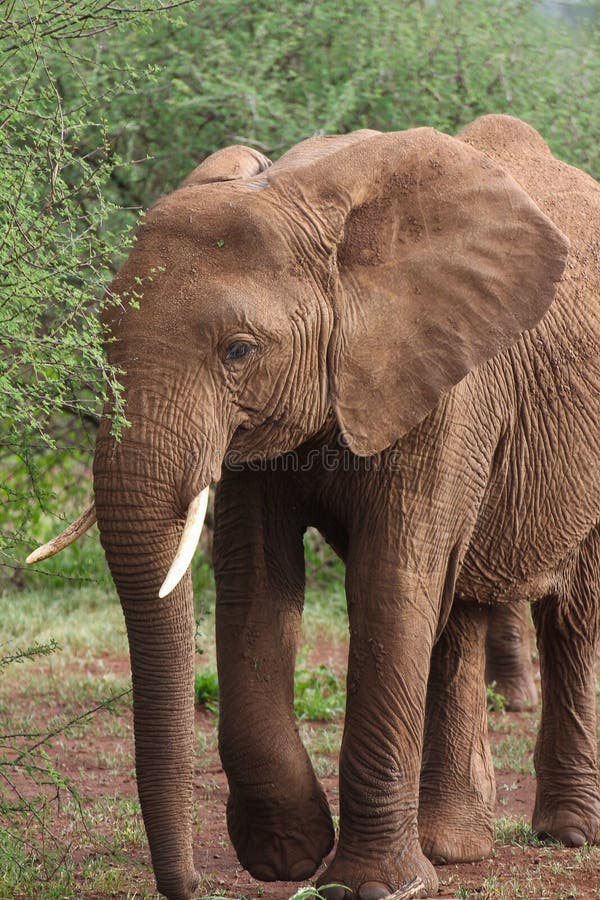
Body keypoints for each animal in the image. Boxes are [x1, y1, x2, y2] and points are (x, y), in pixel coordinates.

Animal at [28, 114, 600, 900]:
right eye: (105, 337)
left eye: (239, 351)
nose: (189, 885)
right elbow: (254, 585)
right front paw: (286, 859)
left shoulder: (449, 386)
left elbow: (390, 583)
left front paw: (367, 887)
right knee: (456, 615)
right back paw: (452, 849)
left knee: (571, 617)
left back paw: (565, 834)